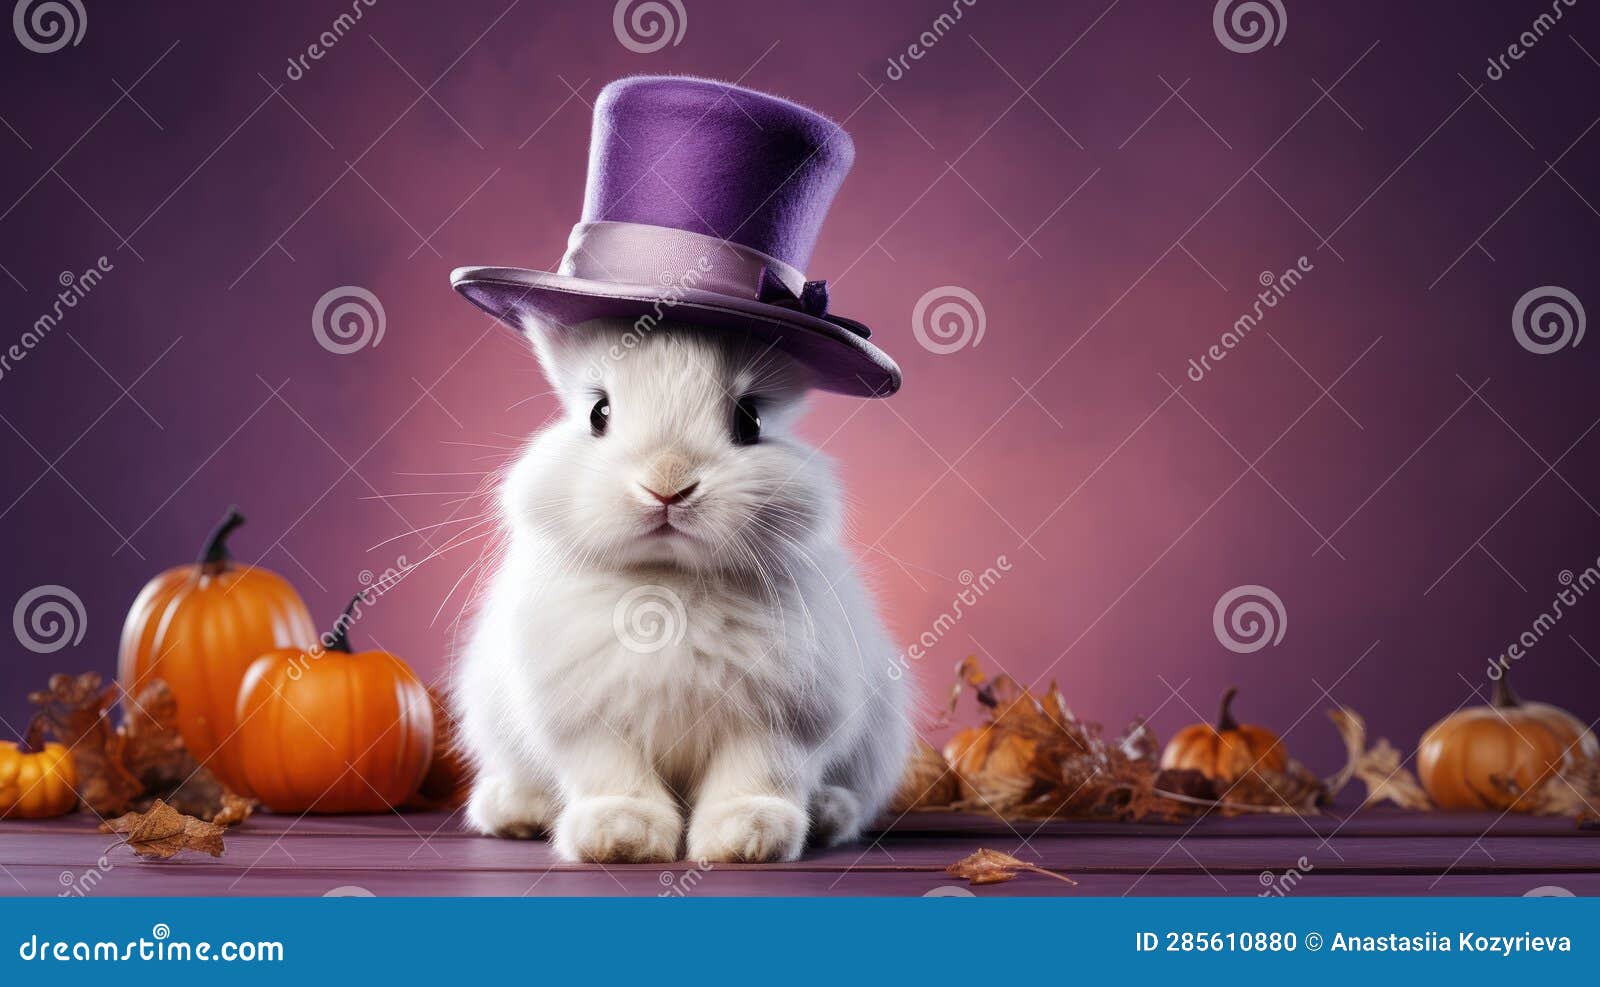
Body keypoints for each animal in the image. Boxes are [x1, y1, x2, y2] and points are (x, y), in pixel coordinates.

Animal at [455, 316, 910, 864]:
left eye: (750, 420)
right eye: (598, 412)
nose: (667, 483)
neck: (667, 582)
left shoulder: (777, 719)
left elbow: (756, 771)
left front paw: (746, 837)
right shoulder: (589, 721)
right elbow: (613, 773)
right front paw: (621, 836)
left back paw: (827, 812)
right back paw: (516, 810)